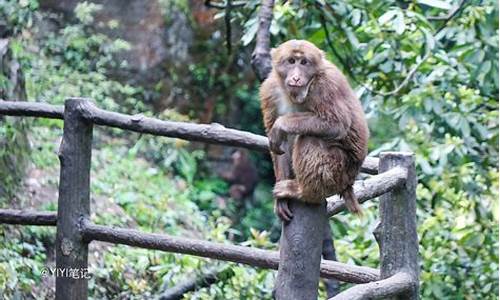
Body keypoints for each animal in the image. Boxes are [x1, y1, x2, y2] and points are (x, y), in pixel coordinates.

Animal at [260, 39, 370, 221]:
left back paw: (304, 192)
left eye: (304, 62)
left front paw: (281, 124)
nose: (296, 77)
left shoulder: (326, 86)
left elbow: (337, 124)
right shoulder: (269, 90)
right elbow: (279, 145)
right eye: (291, 61)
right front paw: (280, 202)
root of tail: (349, 184)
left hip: (338, 171)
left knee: (310, 138)